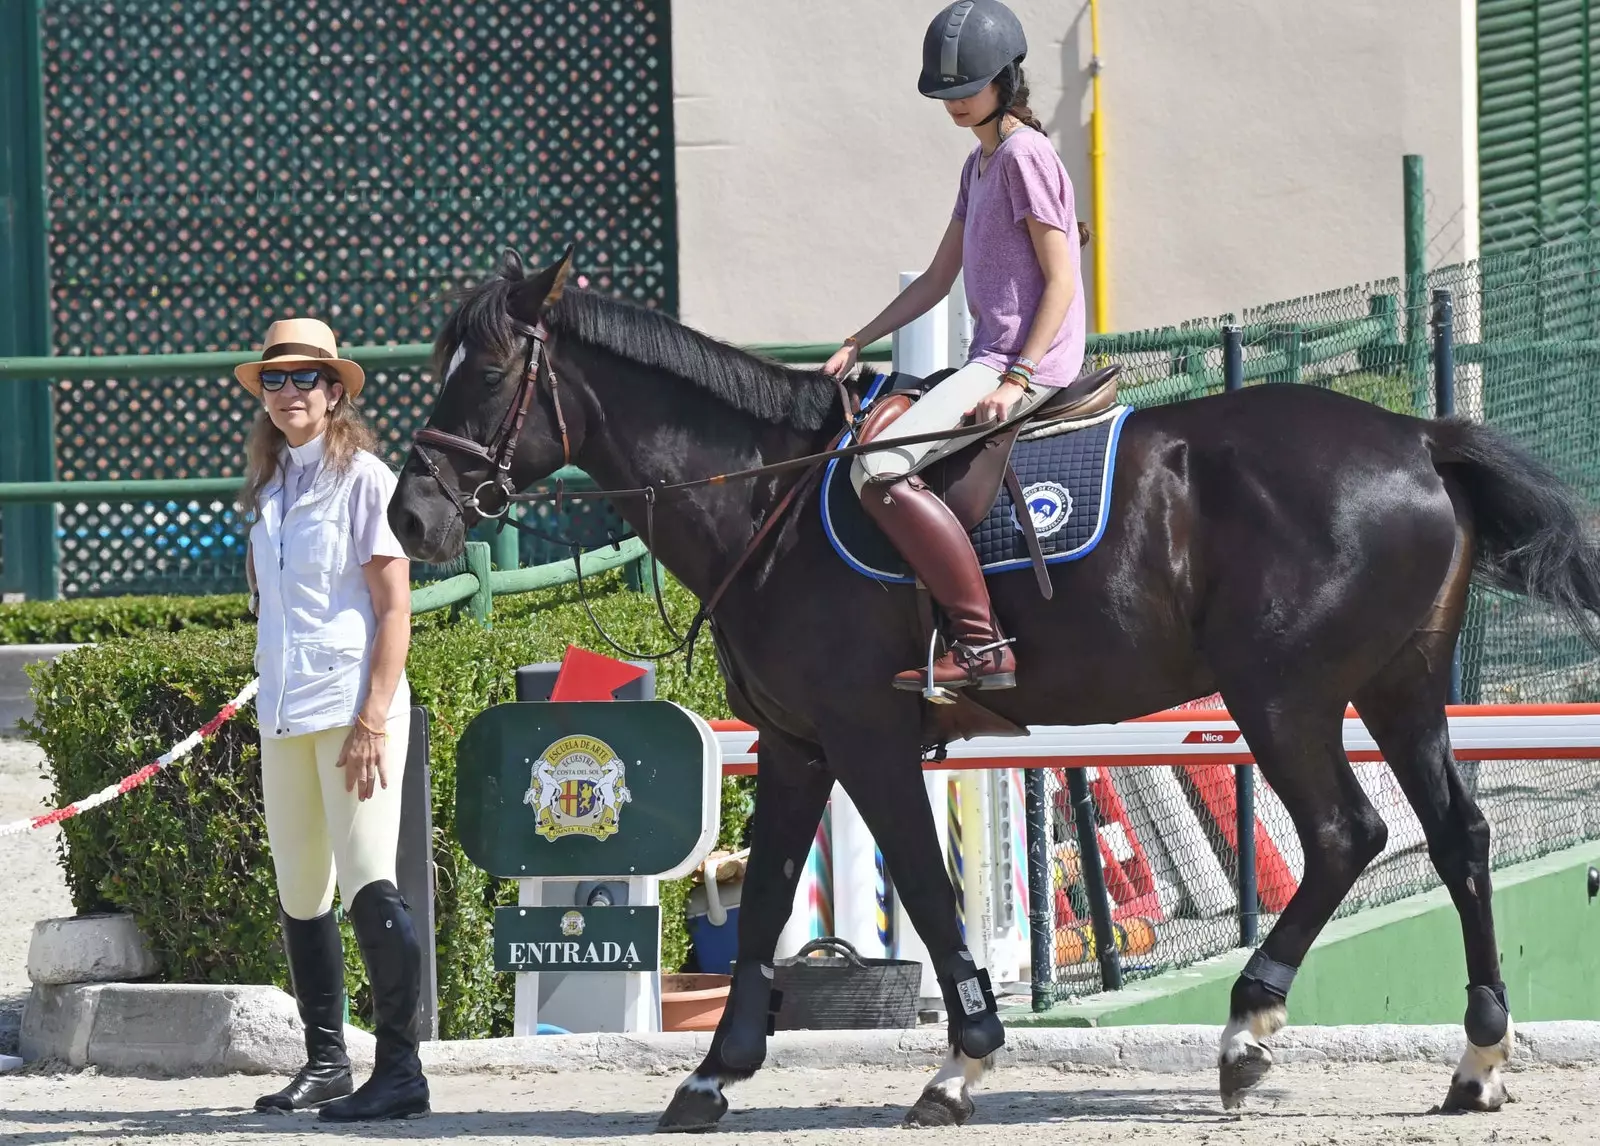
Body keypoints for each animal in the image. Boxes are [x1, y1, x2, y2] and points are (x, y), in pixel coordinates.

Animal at [387, 248, 1600, 1126]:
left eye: (484, 374)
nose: (411, 515)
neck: (766, 502)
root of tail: (1419, 435)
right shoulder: (795, 745)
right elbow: (770, 894)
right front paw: (712, 1076)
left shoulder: (867, 737)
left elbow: (927, 891)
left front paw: (959, 1067)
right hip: (1399, 687)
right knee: (1459, 838)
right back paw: (1476, 1060)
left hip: (1283, 696)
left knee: (1349, 835)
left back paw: (1247, 1032)